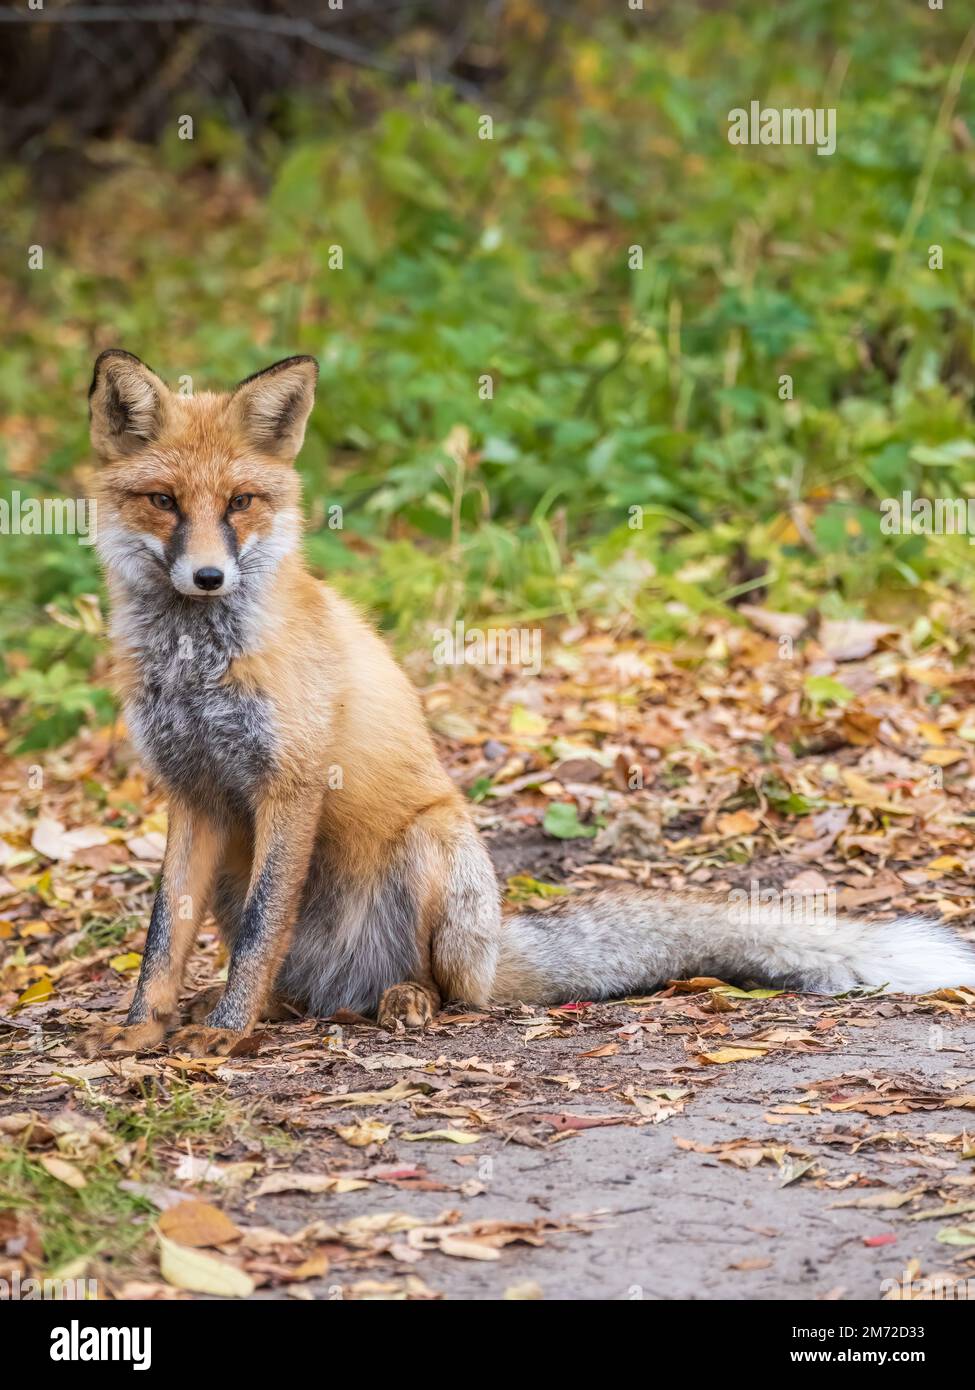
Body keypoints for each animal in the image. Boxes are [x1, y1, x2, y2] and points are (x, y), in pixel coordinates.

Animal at [79, 349, 975, 1057]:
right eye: (164, 501)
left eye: (239, 502)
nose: (207, 577)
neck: (196, 665)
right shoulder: (195, 795)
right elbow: (163, 936)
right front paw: (146, 1026)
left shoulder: (289, 785)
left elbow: (262, 932)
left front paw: (226, 1034)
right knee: (296, 986)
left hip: (433, 850)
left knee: (447, 993)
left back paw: (399, 1001)